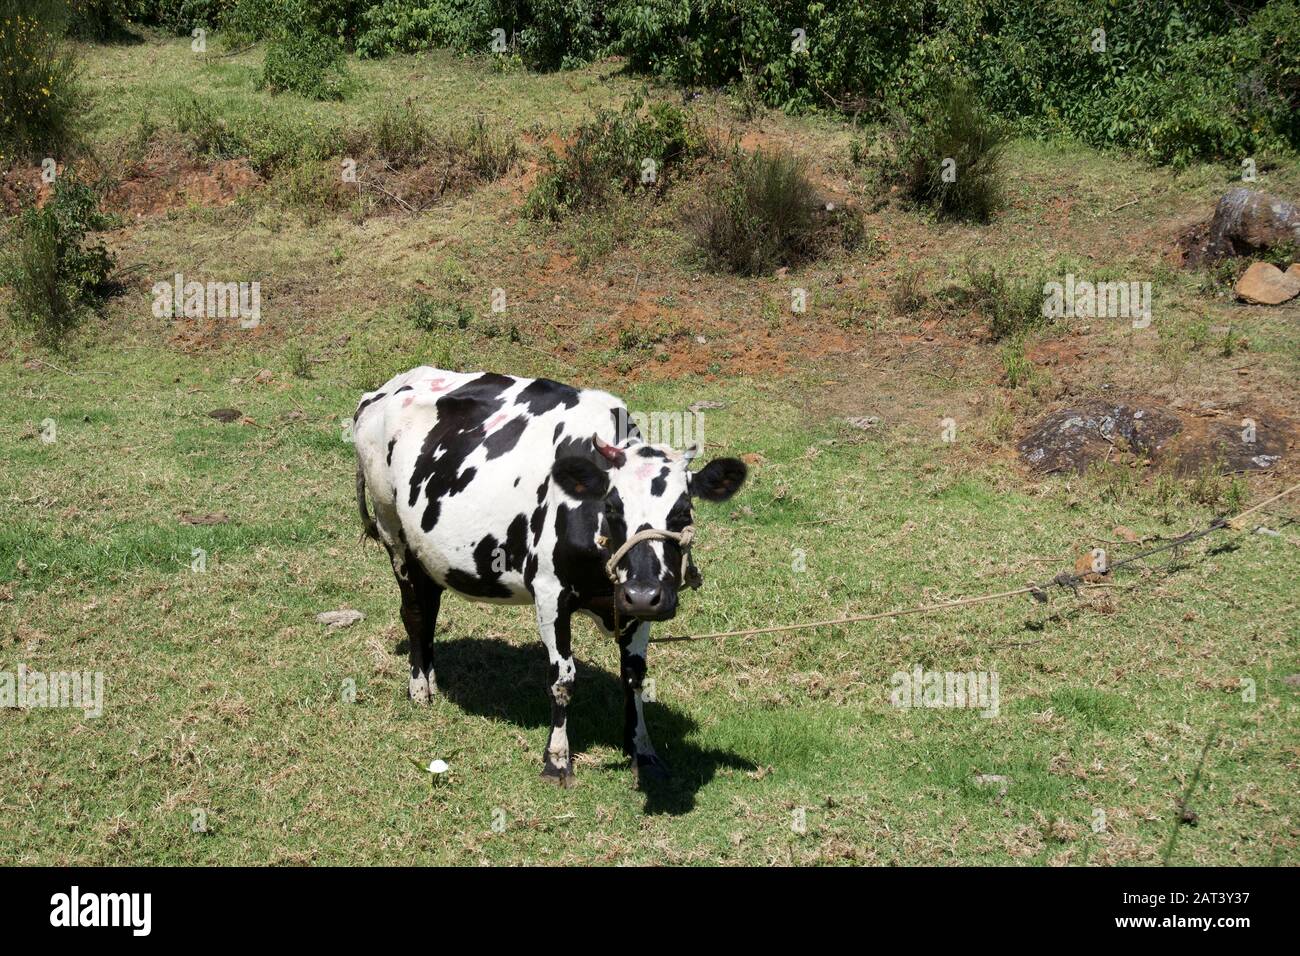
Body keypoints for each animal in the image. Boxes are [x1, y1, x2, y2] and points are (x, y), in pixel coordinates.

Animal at [352, 367, 747, 786]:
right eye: (612, 506)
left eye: (683, 511)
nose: (642, 593)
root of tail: (390, 386)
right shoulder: (549, 592)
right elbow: (563, 678)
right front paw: (557, 759)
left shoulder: (638, 602)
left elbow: (634, 675)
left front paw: (641, 748)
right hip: (393, 531)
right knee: (414, 613)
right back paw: (418, 689)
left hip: (430, 552)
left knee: (429, 609)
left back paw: (431, 680)